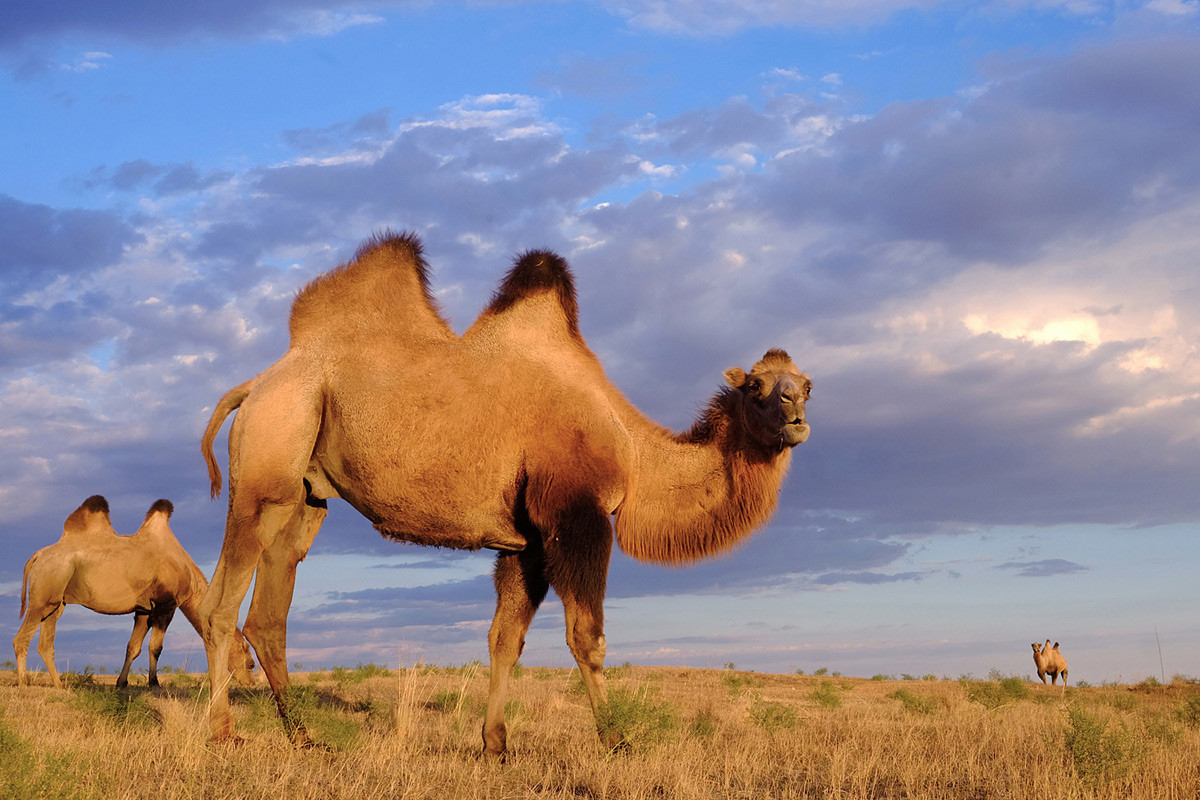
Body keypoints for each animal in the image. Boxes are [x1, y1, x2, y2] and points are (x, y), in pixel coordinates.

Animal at [12, 494, 258, 690]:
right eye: (250, 662)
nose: (251, 683)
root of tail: (38, 555)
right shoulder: (166, 604)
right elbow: (155, 647)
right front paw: (154, 683)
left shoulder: (143, 609)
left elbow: (133, 647)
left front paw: (122, 683)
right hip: (41, 597)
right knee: (21, 638)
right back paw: (24, 683)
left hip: (56, 603)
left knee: (46, 644)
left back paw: (59, 684)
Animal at [199, 231, 816, 758]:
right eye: (757, 387)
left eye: (807, 385)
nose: (796, 415)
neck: (633, 449)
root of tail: (257, 384)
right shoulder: (577, 517)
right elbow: (587, 637)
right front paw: (617, 742)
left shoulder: (529, 543)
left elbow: (505, 639)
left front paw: (494, 745)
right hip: (266, 461)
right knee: (219, 604)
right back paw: (224, 734)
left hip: (305, 495)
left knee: (270, 610)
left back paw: (305, 738)